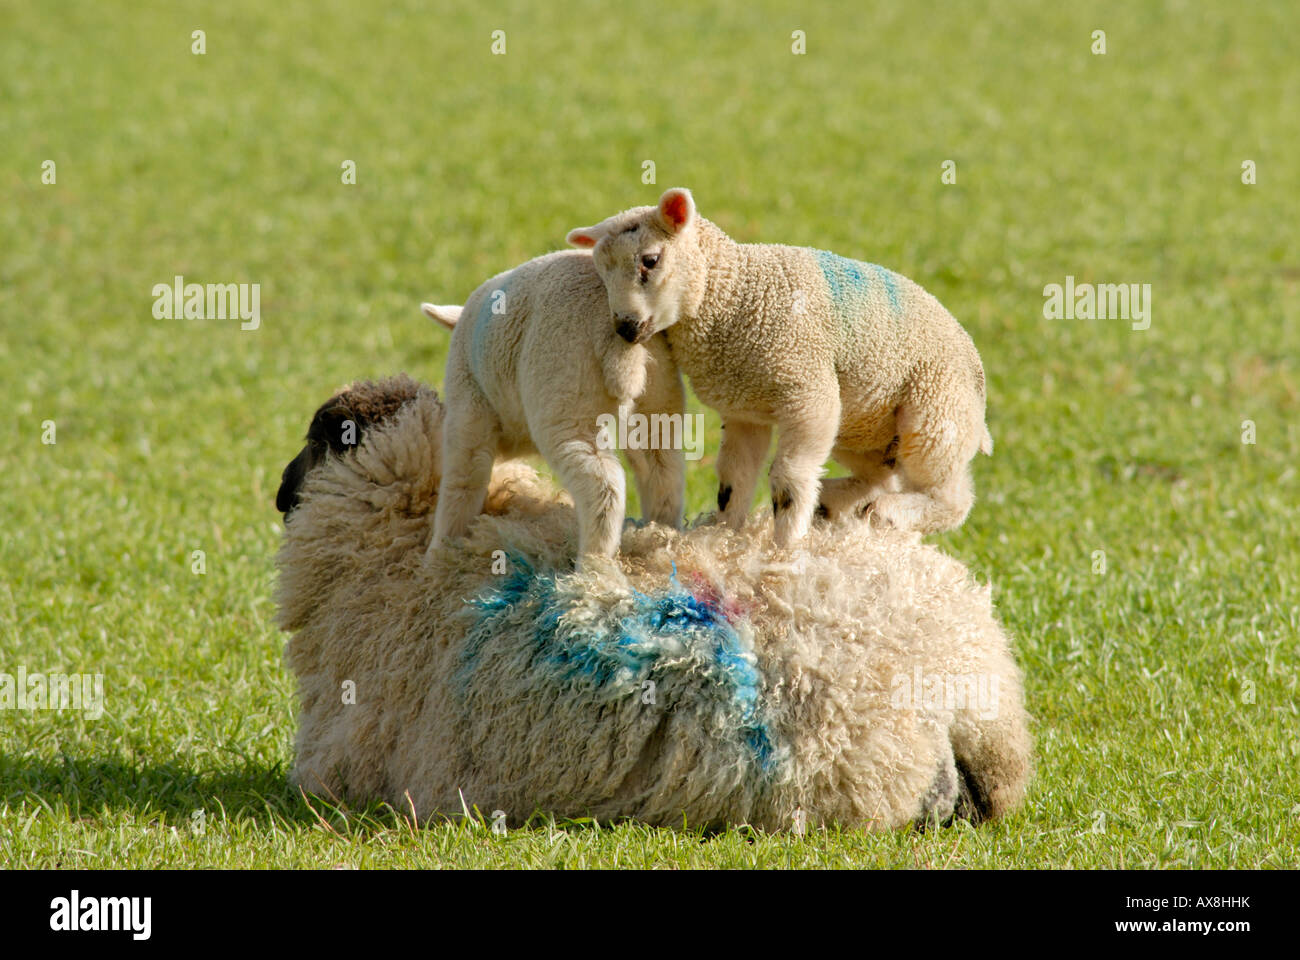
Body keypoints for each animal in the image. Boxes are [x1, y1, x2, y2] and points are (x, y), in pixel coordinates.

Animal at [425, 250, 686, 568]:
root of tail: (621, 339)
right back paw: (659, 534)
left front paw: (440, 554)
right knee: (662, 468)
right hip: (659, 389)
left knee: (603, 485)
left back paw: (593, 562)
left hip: (564, 395)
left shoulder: (469, 404)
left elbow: (463, 481)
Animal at [566, 188, 994, 548]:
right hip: (863, 425)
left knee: (952, 497)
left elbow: (789, 478)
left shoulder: (808, 390)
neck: (734, 295)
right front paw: (724, 535)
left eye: (650, 261)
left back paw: (890, 512)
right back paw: (838, 502)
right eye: (601, 272)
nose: (626, 327)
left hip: (936, 411)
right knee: (882, 476)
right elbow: (733, 477)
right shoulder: (745, 410)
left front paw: (786, 544)